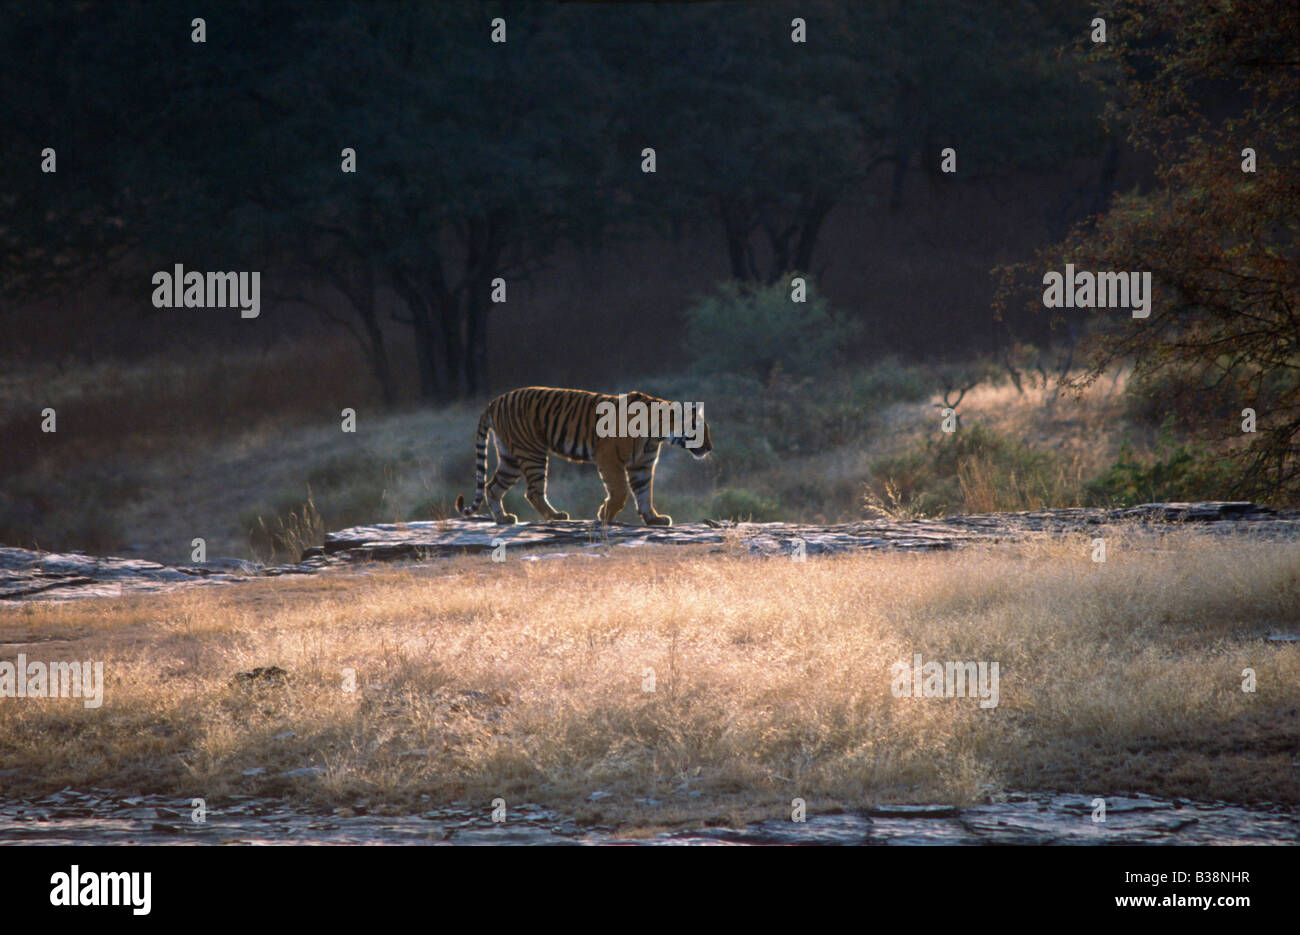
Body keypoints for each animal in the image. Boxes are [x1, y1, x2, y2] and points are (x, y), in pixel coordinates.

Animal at [455, 386, 712, 525]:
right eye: (699, 429)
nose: (709, 448)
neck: (657, 434)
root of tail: (495, 401)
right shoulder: (609, 458)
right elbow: (621, 492)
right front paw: (605, 515)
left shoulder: (642, 466)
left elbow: (644, 494)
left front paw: (654, 519)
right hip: (532, 452)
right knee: (533, 491)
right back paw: (556, 516)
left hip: (510, 457)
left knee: (492, 487)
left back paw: (504, 518)